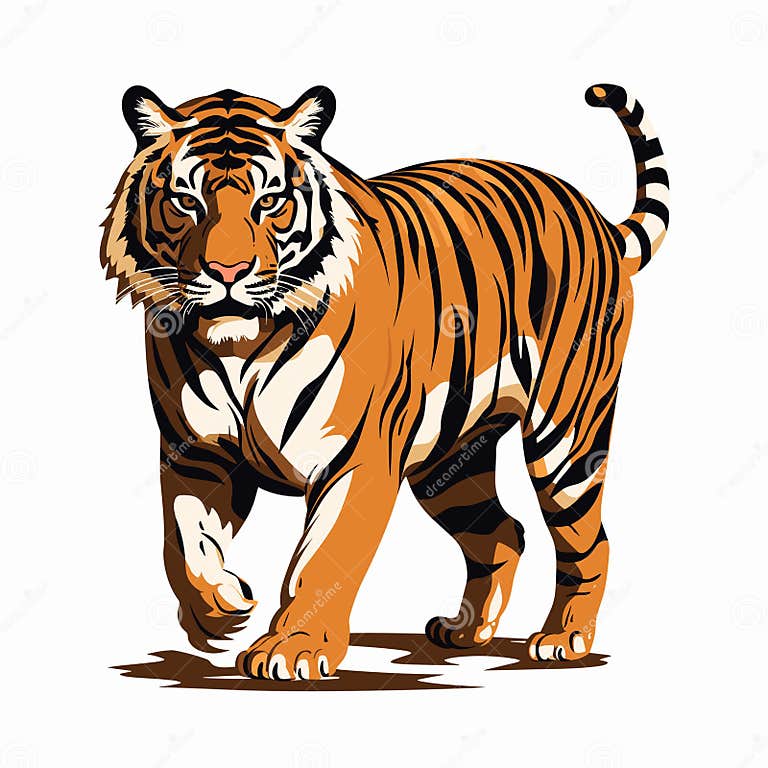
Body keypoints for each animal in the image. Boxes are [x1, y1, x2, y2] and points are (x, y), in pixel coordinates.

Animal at [101, 82, 669, 680]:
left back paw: (564, 638)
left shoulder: (356, 454)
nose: (227, 273)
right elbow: (184, 544)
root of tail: (600, 222)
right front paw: (222, 609)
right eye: (186, 200)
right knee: (502, 532)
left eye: (270, 201)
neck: (239, 348)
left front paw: (294, 649)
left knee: (588, 540)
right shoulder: (194, 453)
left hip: (565, 435)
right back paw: (466, 633)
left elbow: (323, 556)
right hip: (450, 463)